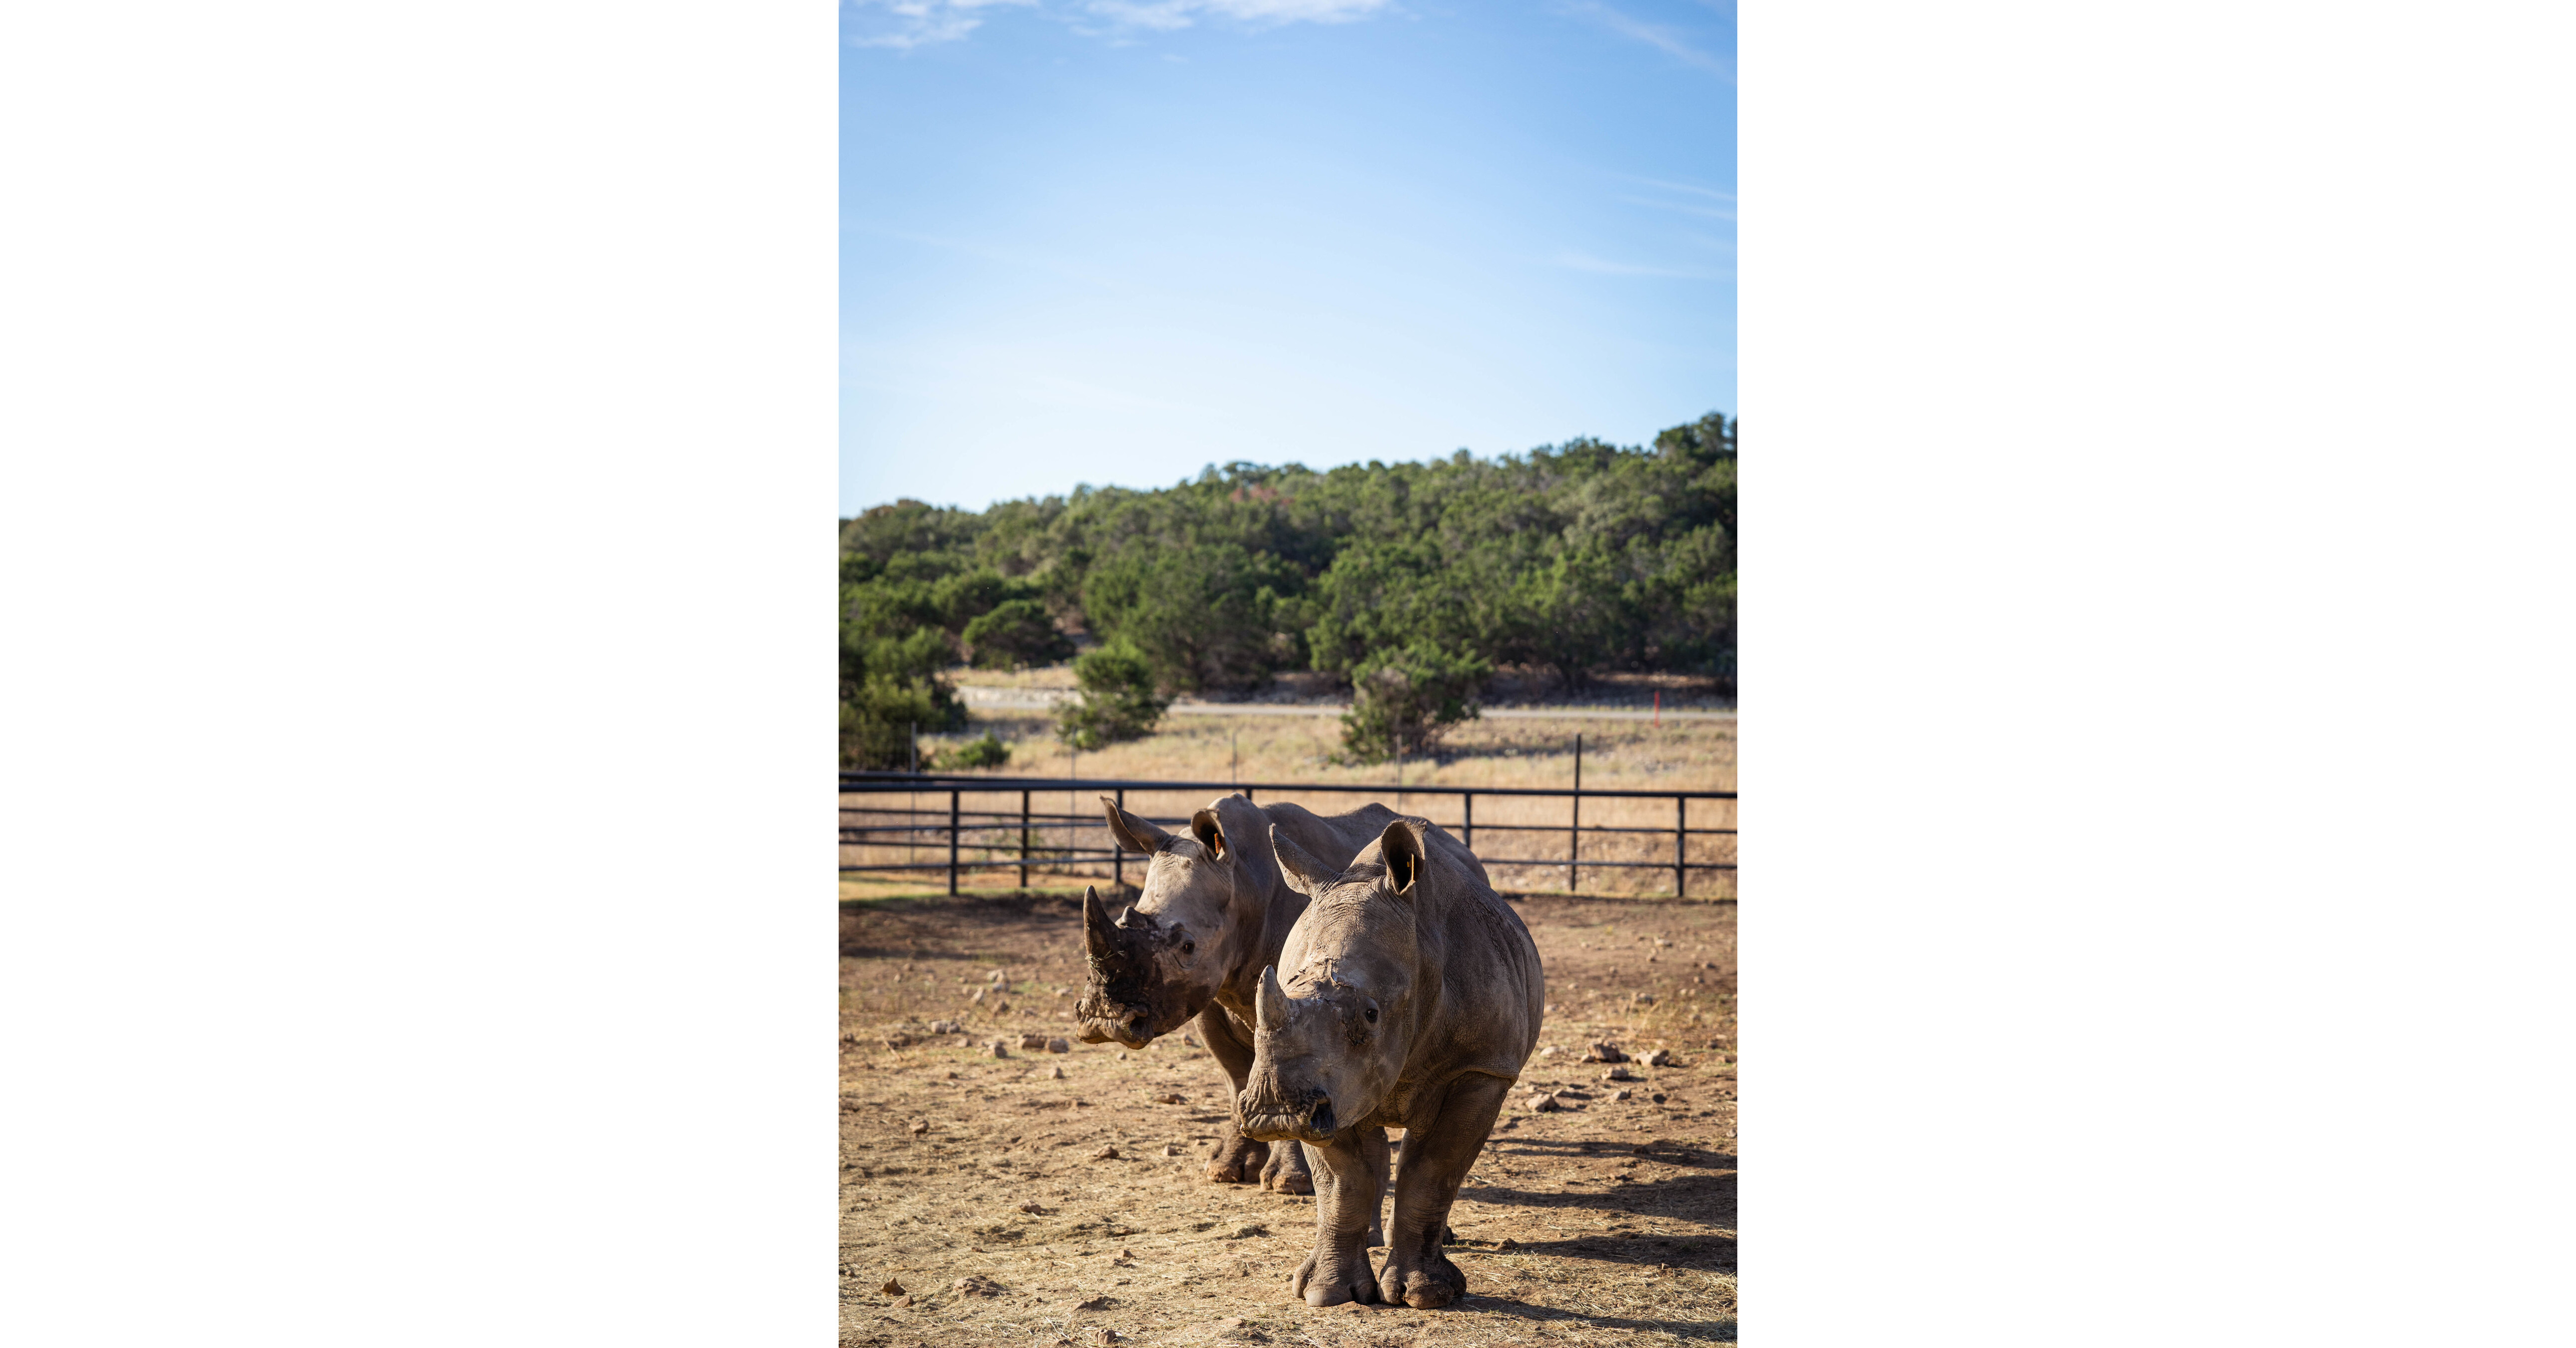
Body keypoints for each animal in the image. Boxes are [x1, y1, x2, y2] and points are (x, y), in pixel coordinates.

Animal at [1074, 793, 1487, 1195]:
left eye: (1187, 946)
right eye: (1128, 917)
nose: (1103, 1021)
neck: (1244, 886)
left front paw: (1290, 1181)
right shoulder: (1210, 999)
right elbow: (1236, 1078)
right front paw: (1226, 1169)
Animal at [1235, 816, 1544, 1309]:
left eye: (1371, 1013)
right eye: (1285, 986)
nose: (1272, 1113)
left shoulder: (1481, 1068)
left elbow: (1432, 1171)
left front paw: (1426, 1295)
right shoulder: (1328, 1090)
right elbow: (1342, 1181)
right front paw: (1327, 1293)